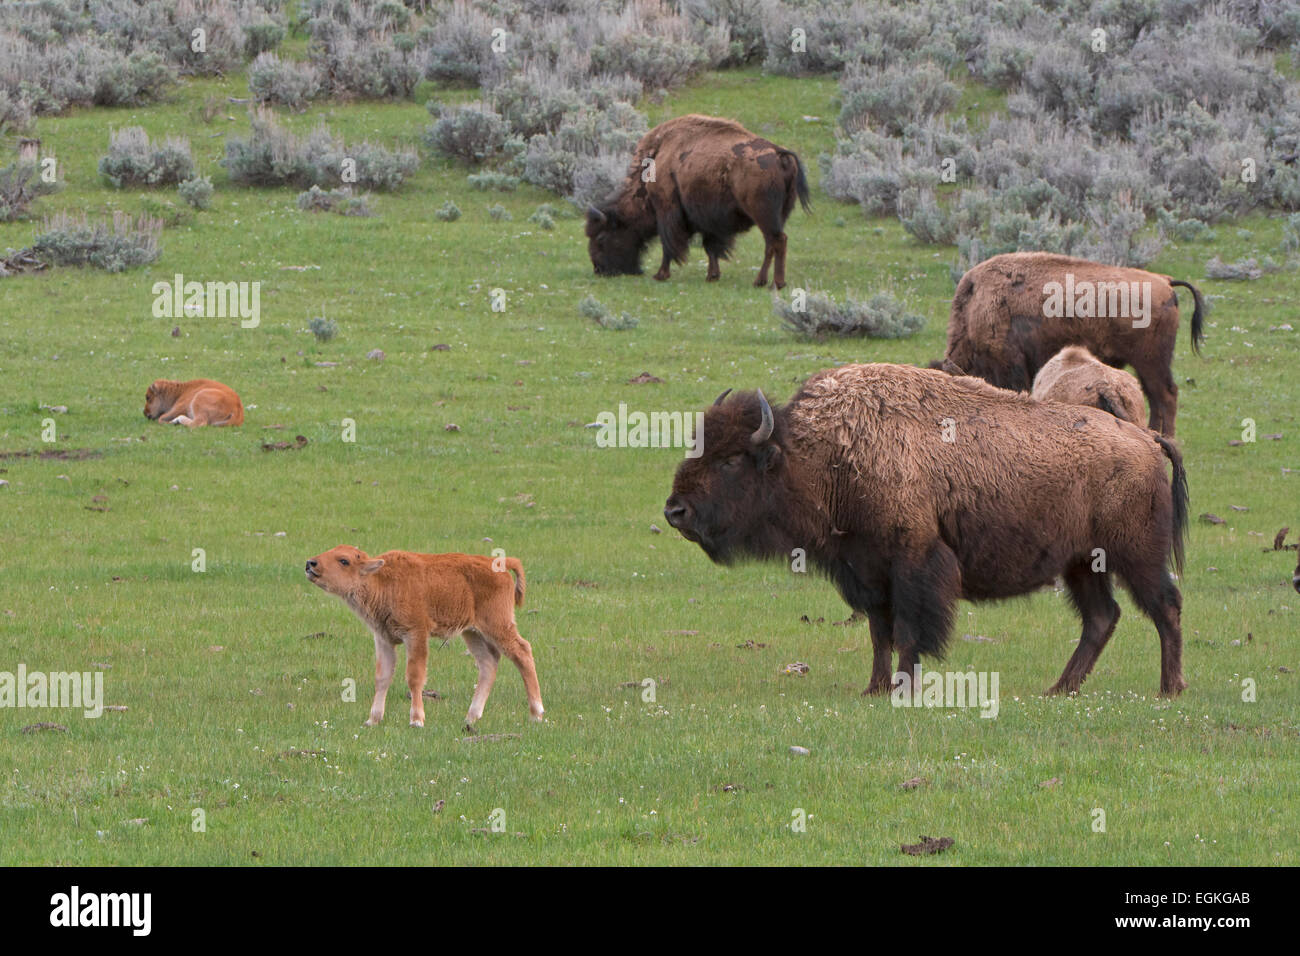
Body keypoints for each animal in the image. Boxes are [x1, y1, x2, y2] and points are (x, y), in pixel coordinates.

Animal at [585, 114, 811, 289]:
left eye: (601, 238)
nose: (598, 269)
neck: (656, 160)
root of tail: (779, 153)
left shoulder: (667, 211)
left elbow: (669, 245)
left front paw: (660, 275)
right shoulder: (708, 221)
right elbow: (710, 247)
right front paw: (712, 275)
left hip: (763, 214)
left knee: (776, 241)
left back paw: (770, 283)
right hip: (777, 216)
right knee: (773, 243)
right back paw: (767, 281)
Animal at [665, 363, 1190, 697]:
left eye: (731, 460)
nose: (675, 511)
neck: (824, 453)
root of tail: (1147, 438)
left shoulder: (913, 561)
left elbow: (909, 630)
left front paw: (903, 686)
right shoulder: (868, 571)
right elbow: (880, 631)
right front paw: (874, 688)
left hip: (1134, 555)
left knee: (1164, 606)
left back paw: (1169, 688)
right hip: (1083, 563)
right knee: (1102, 618)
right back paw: (1060, 688)